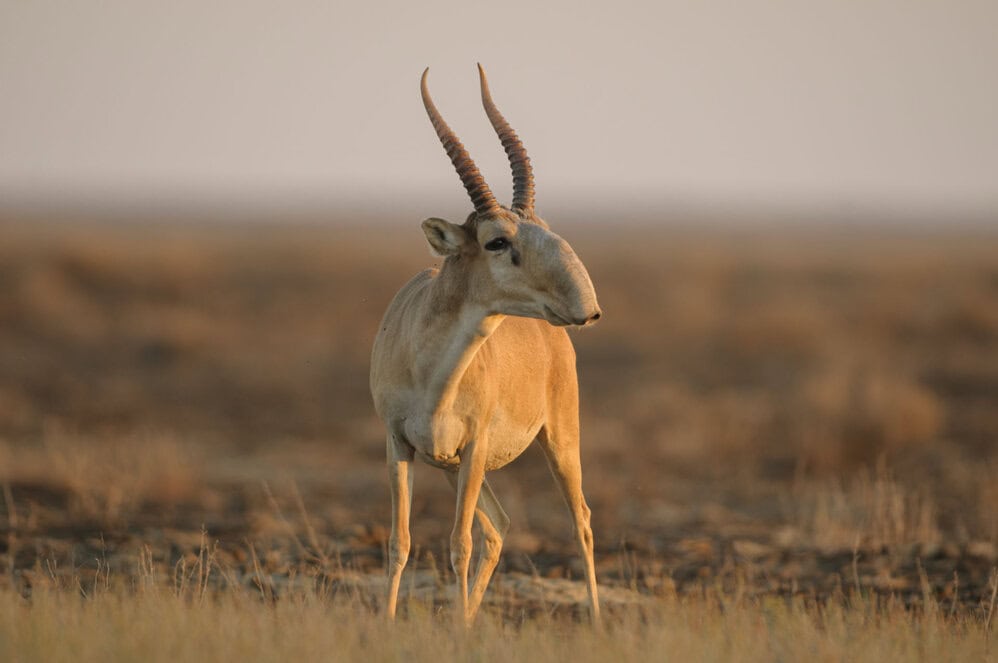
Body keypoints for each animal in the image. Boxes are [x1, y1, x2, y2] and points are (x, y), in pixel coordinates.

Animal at [370, 64, 602, 625]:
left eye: (542, 228)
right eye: (497, 240)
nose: (585, 306)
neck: (430, 370)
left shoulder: (472, 449)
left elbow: (459, 543)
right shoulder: (399, 445)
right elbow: (400, 542)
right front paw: (387, 625)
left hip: (557, 442)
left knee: (580, 520)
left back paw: (596, 620)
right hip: (450, 467)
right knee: (499, 528)